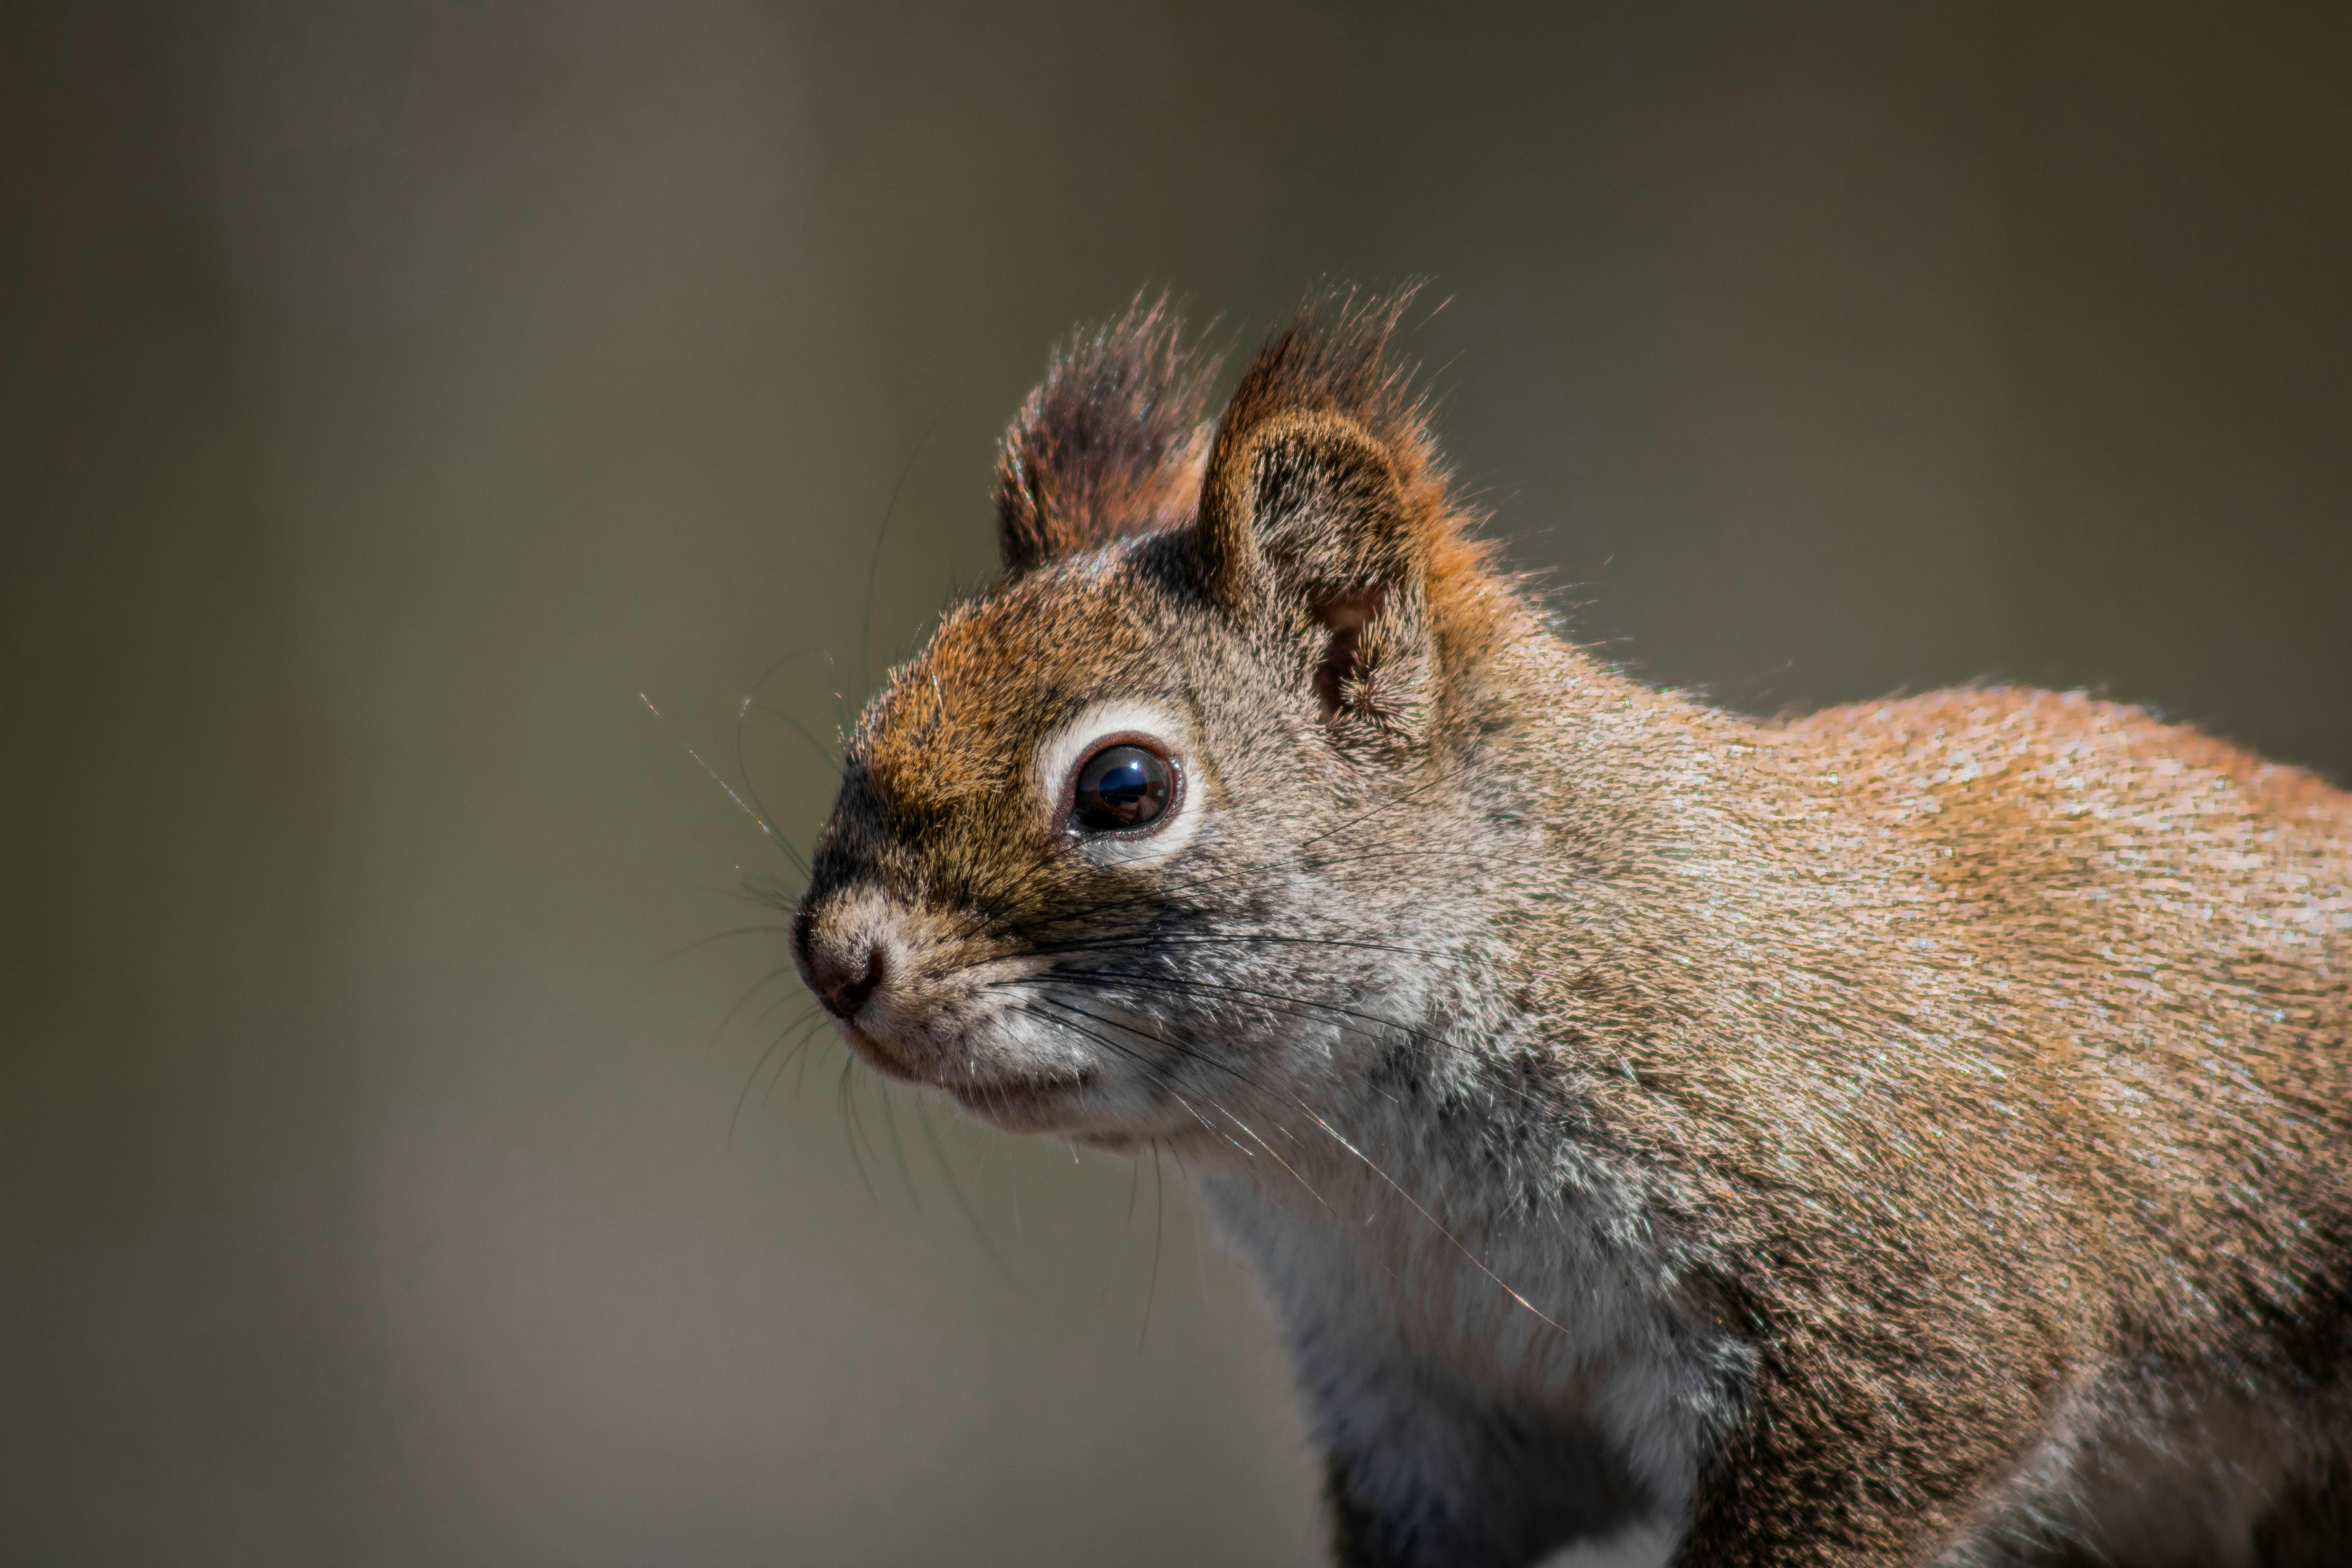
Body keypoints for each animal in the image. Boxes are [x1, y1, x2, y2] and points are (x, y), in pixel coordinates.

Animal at [788, 292, 2352, 1568]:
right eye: (873, 715)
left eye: (1124, 787)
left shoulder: (1892, 1274)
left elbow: (1934, 1395)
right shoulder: (1426, 1403)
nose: (837, 962)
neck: (1350, 1150)